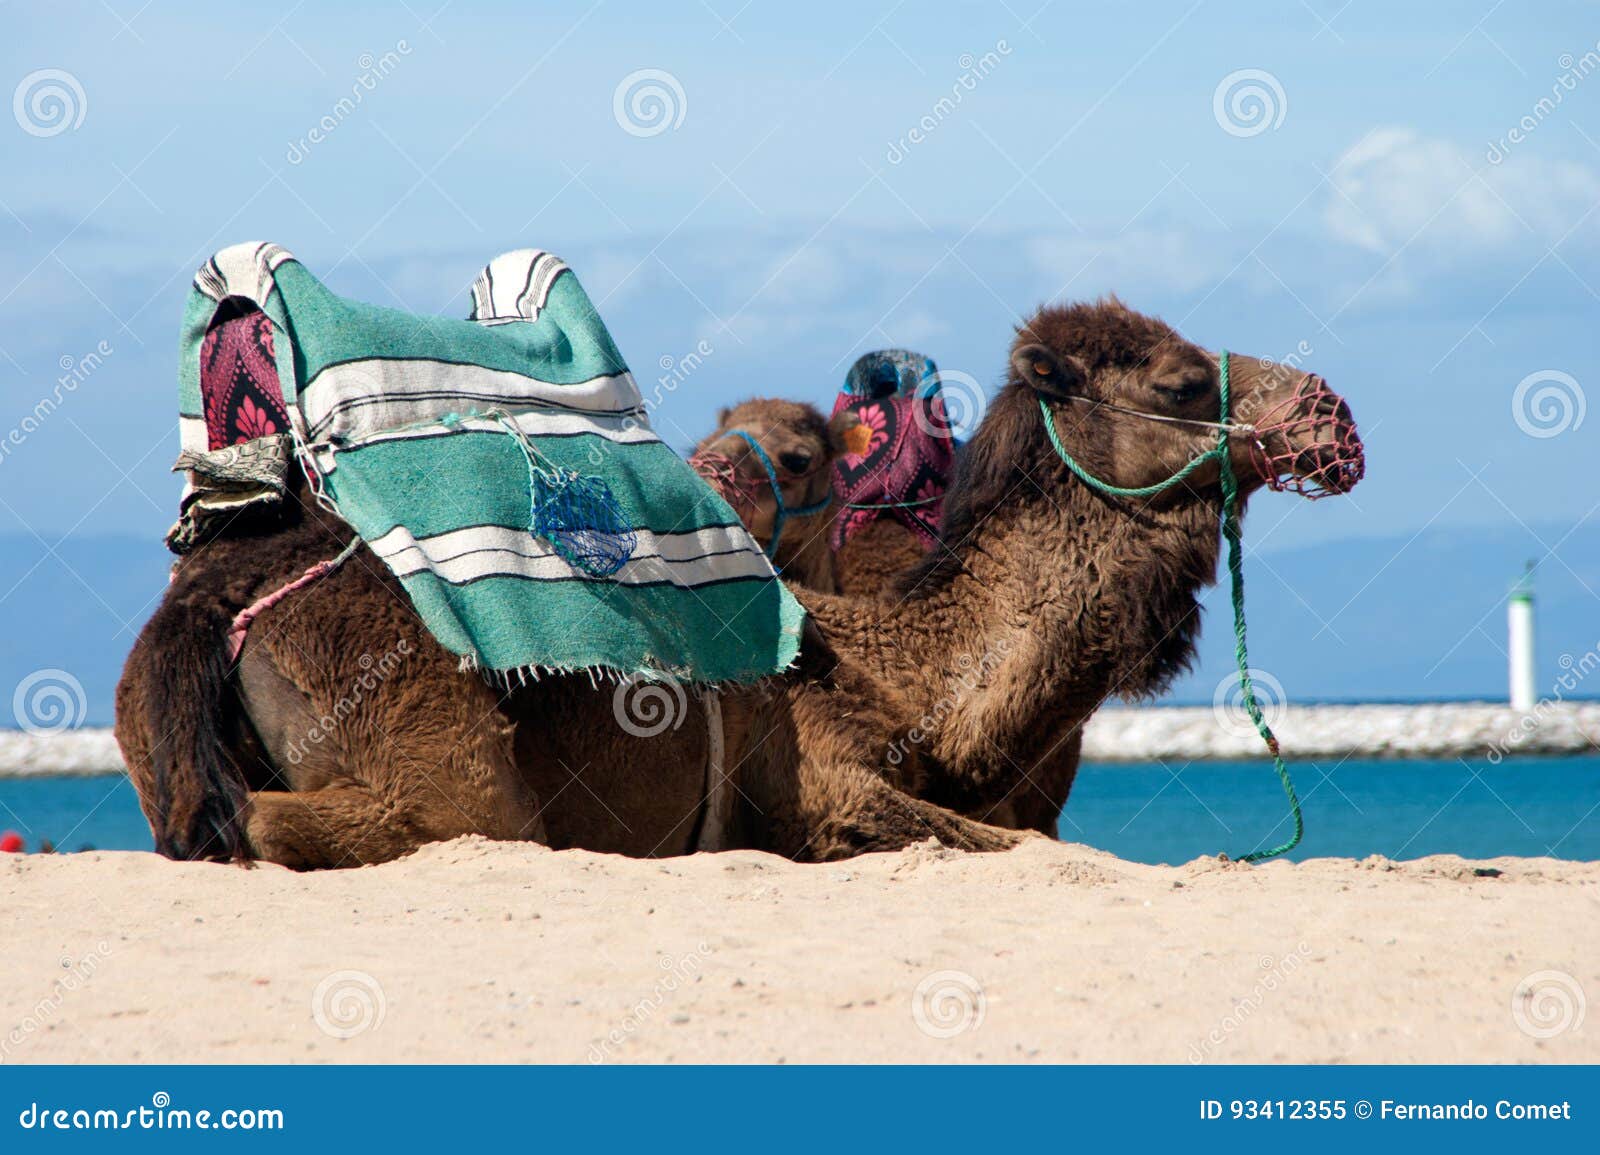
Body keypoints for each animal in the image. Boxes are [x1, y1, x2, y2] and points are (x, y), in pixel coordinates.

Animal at [115, 297, 1361, 868]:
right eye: (1182, 379)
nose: (1332, 418)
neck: (918, 678)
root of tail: (216, 601)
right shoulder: (826, 782)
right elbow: (1042, 852)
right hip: (443, 765)